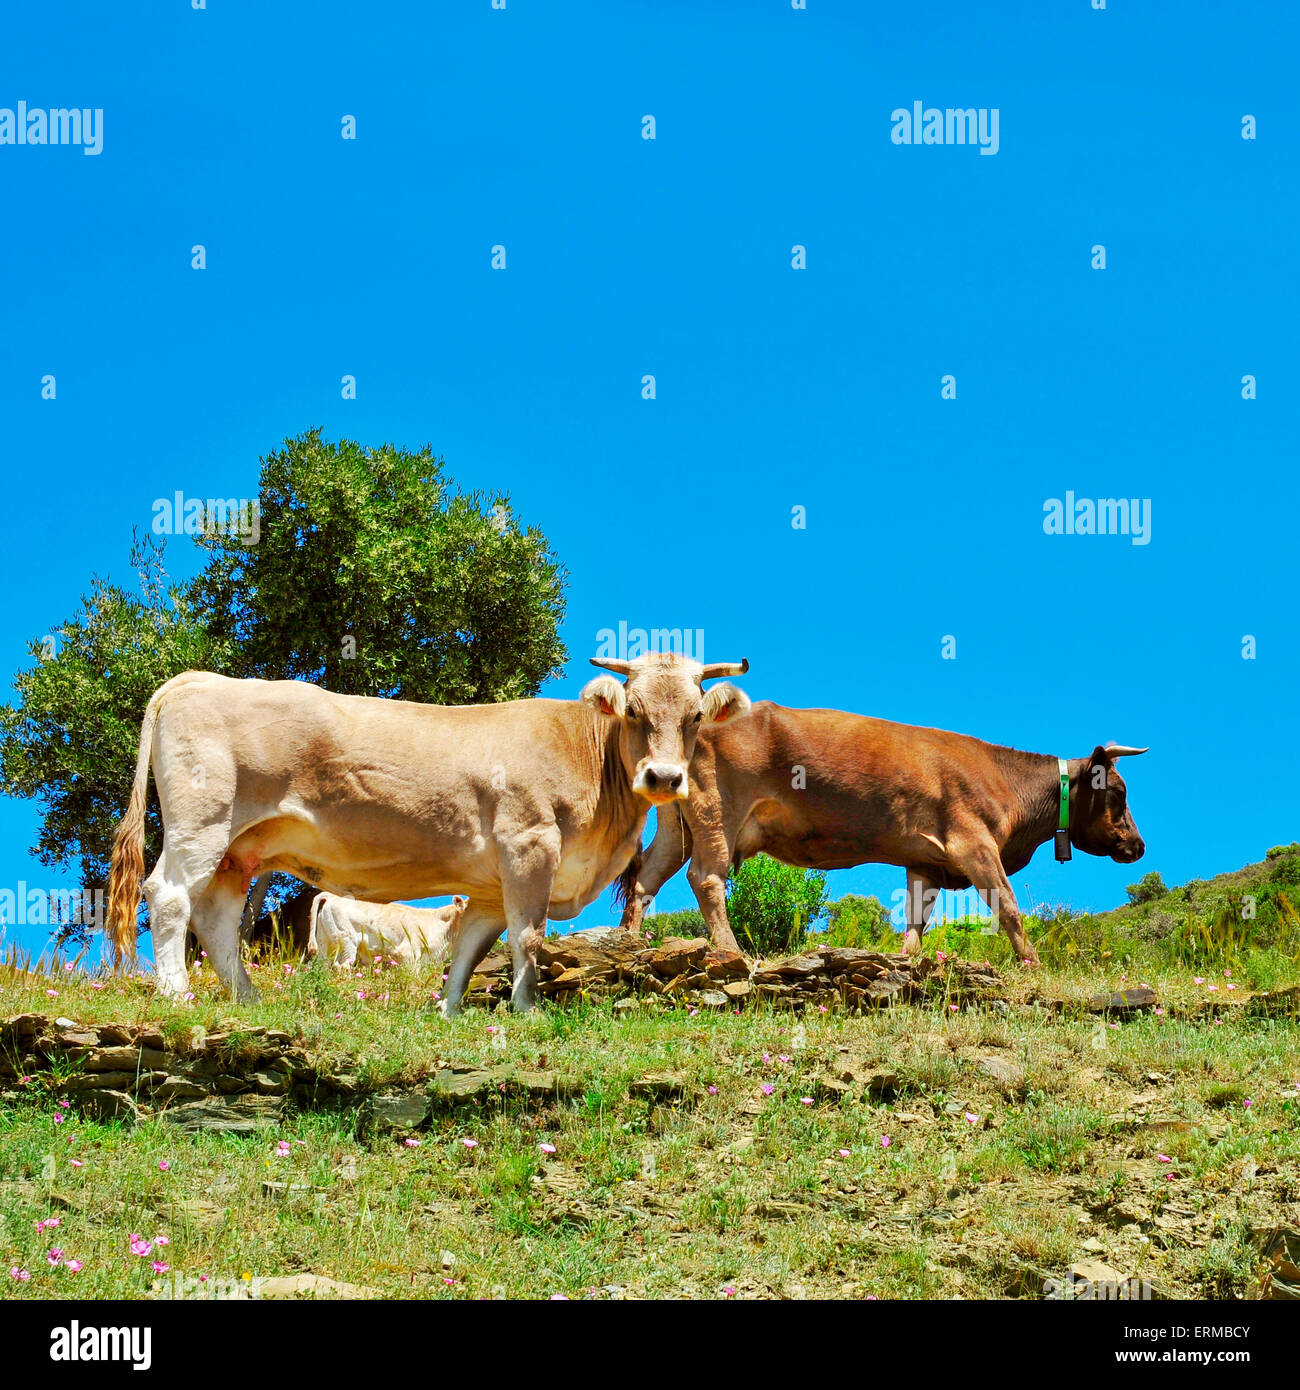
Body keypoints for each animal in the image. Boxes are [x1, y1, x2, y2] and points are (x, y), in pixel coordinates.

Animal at [617, 703, 1147, 964]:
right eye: (1118, 792)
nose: (1139, 846)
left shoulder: (925, 861)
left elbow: (916, 920)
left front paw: (908, 961)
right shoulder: (974, 843)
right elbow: (1010, 908)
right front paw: (1032, 962)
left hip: (679, 823)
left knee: (647, 876)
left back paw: (629, 941)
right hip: (716, 814)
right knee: (705, 878)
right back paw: (730, 949)